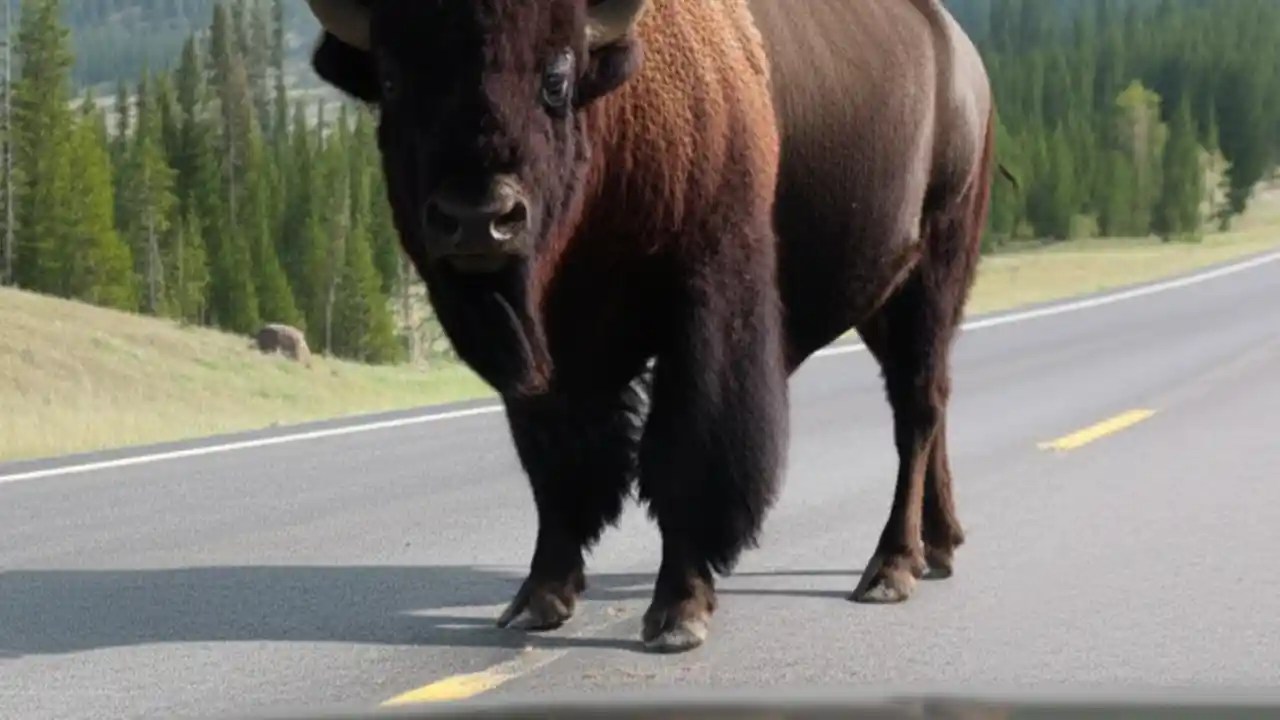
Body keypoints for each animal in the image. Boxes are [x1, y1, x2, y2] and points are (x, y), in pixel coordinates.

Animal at [305, 0, 997, 654]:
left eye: (556, 76)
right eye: (391, 80)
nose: (479, 219)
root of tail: (967, 62)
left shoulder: (703, 315)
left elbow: (682, 451)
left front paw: (678, 612)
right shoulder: (552, 357)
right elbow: (556, 467)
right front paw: (539, 598)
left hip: (932, 272)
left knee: (916, 410)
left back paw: (891, 569)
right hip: (884, 300)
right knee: (929, 404)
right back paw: (940, 545)